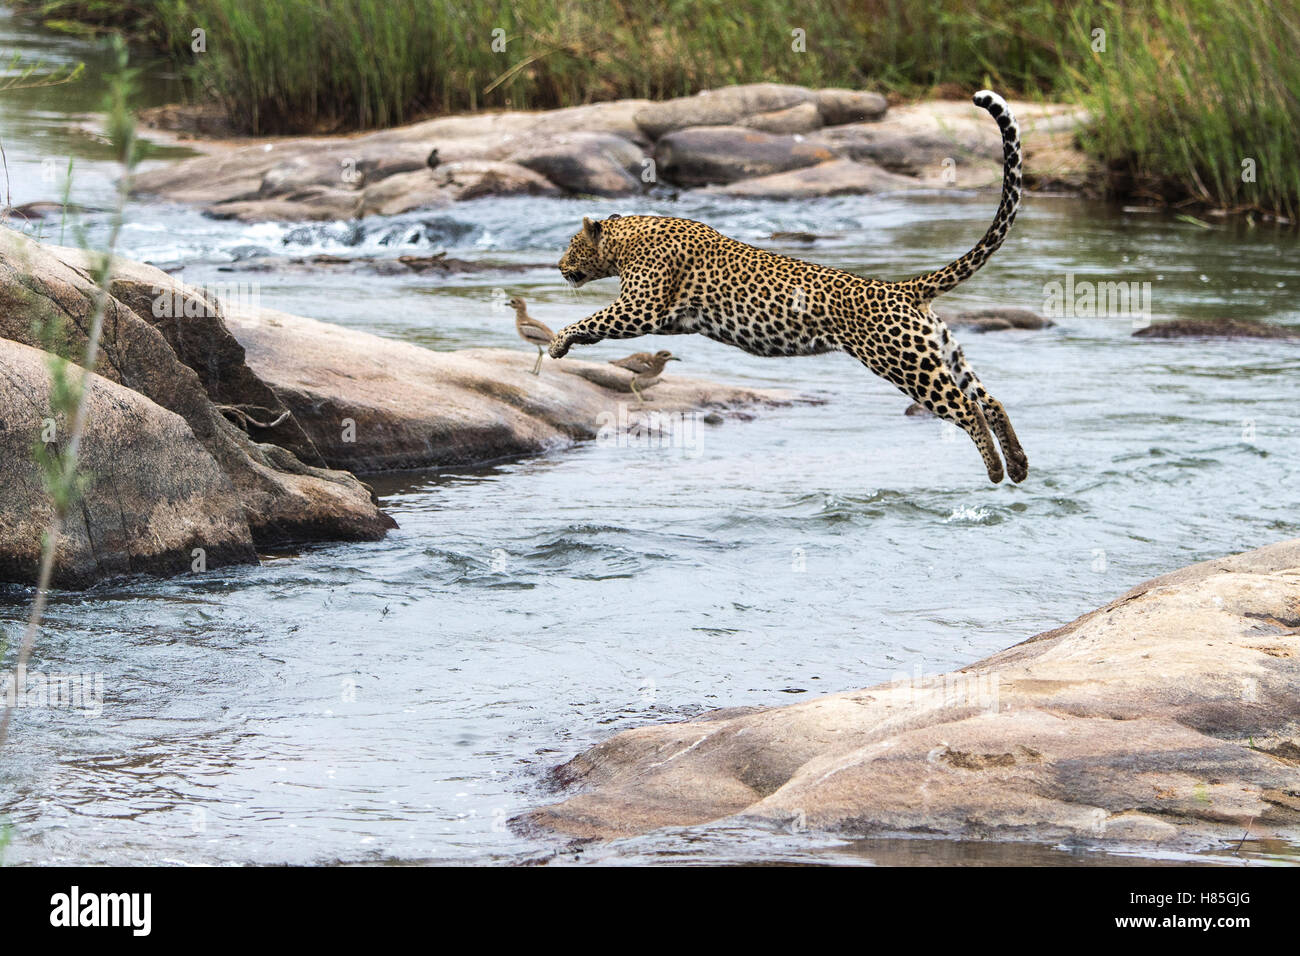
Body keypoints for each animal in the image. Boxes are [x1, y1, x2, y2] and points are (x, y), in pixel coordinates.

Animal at [549, 90, 1028, 484]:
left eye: (571, 244)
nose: (558, 266)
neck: (626, 237)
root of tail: (904, 289)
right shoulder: (668, 318)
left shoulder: (640, 307)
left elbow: (591, 318)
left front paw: (557, 343)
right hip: (942, 352)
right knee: (992, 401)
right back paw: (1019, 465)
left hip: (907, 363)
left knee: (968, 409)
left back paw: (995, 469)